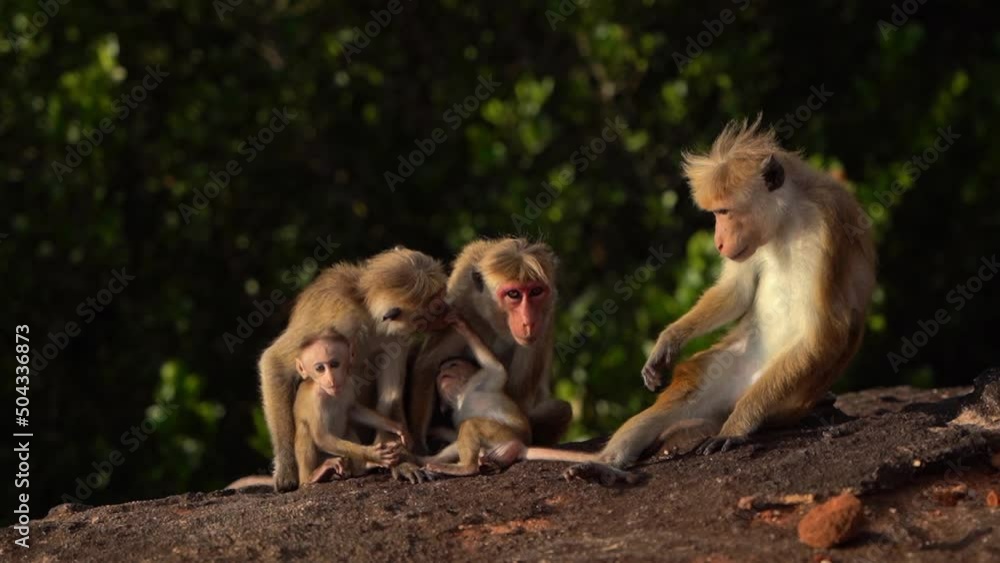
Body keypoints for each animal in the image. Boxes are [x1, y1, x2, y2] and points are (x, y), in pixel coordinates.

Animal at [259, 247, 448, 491]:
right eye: (435, 307)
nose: (446, 311)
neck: (366, 311)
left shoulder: (395, 336)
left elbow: (390, 398)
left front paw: (402, 462)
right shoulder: (341, 315)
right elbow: (275, 362)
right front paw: (286, 468)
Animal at [408, 238, 571, 454]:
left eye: (536, 291)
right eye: (513, 294)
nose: (529, 322)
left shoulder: (544, 321)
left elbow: (517, 395)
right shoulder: (462, 308)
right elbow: (428, 363)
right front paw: (419, 445)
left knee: (560, 410)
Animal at [563, 117, 877, 484]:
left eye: (724, 211)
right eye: (715, 213)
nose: (718, 242)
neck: (787, 220)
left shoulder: (827, 229)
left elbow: (825, 332)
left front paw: (737, 429)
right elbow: (737, 291)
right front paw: (667, 341)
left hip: (790, 389)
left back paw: (740, 421)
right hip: (731, 366)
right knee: (680, 400)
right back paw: (605, 466)